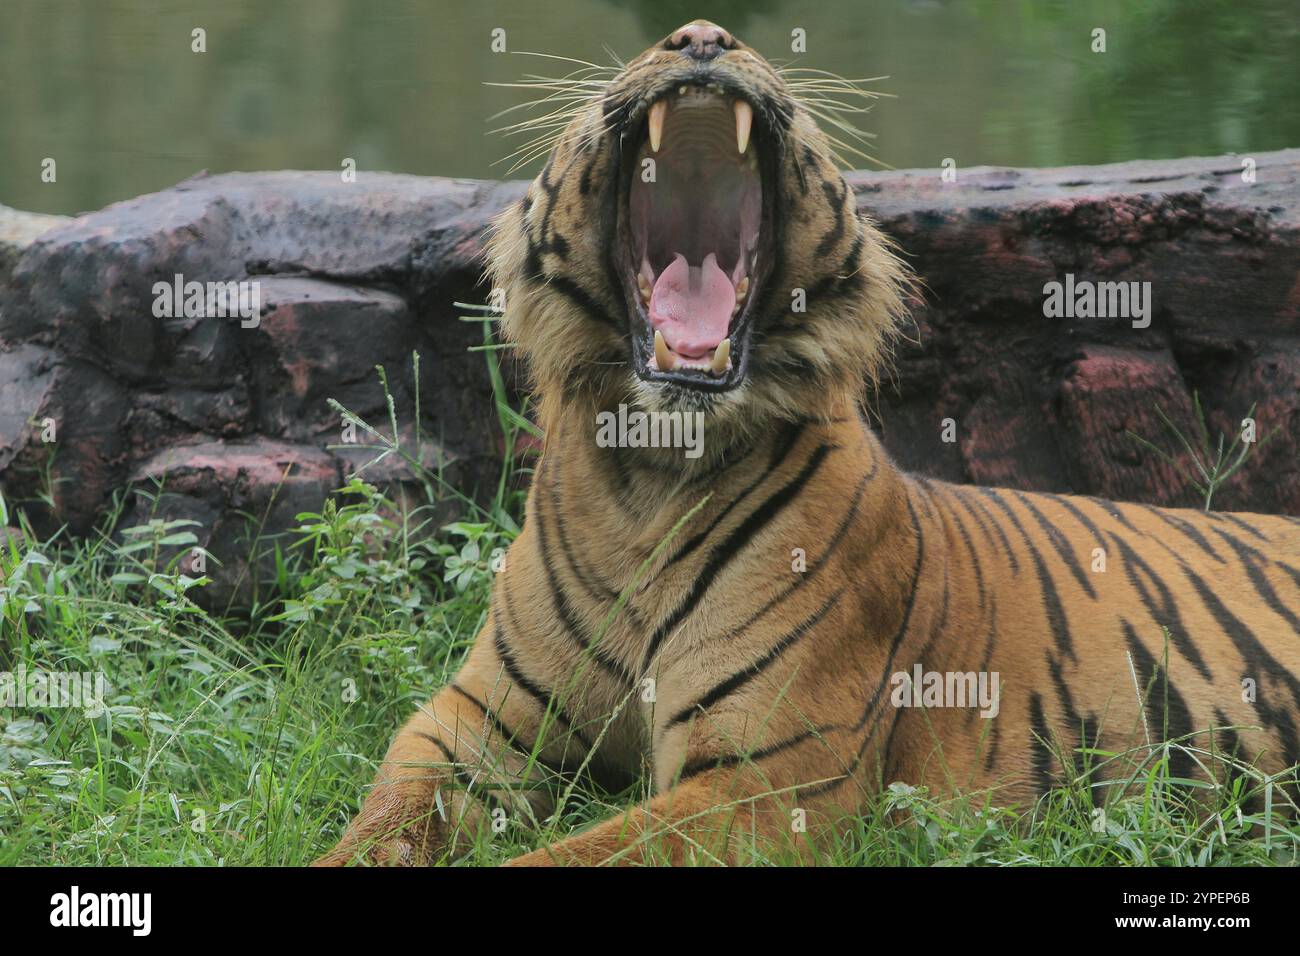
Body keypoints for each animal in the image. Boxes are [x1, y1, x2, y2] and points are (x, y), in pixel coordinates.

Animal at [315, 20, 1300, 867]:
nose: (702, 35)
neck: (649, 472)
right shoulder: (474, 724)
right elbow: (382, 820)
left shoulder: (766, 777)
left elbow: (578, 856)